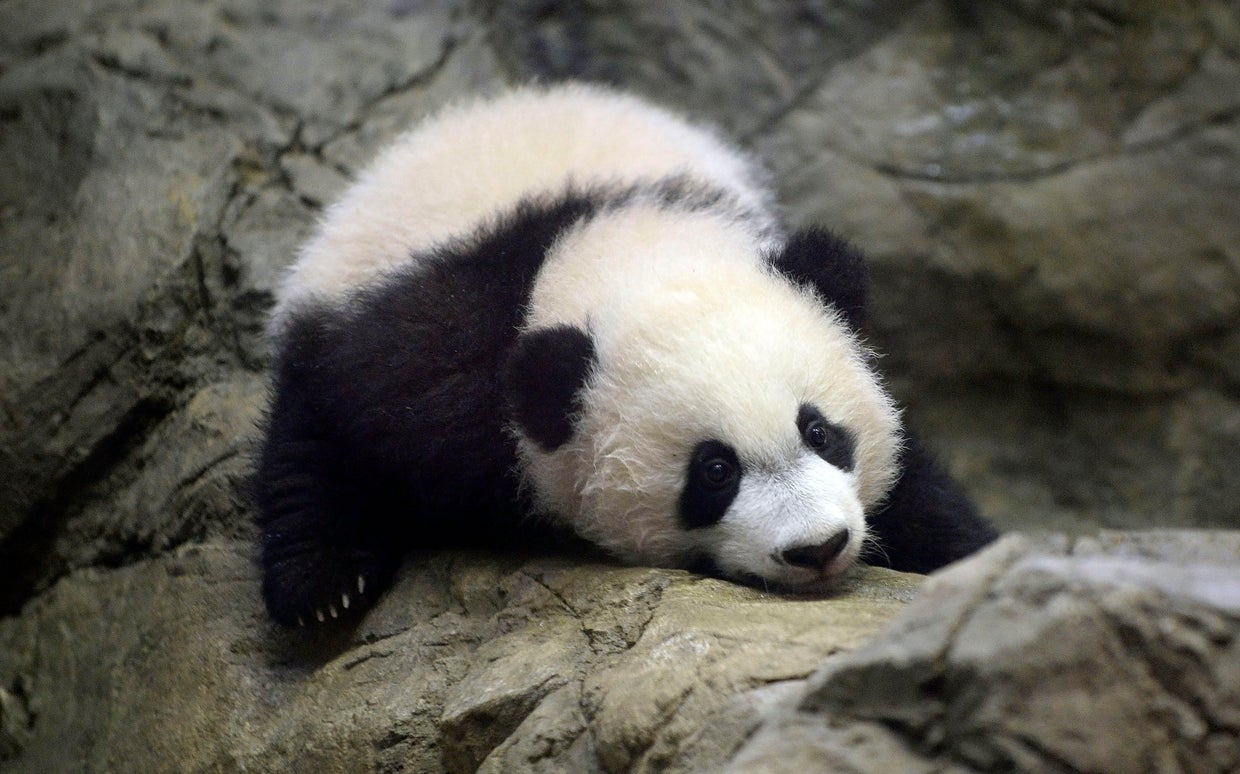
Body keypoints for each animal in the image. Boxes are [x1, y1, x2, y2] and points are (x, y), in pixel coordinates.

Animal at [255, 82, 997, 626]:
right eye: (714, 472)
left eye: (820, 432)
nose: (818, 548)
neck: (611, 240)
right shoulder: (427, 362)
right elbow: (348, 429)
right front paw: (323, 583)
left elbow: (918, 490)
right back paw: (324, 587)